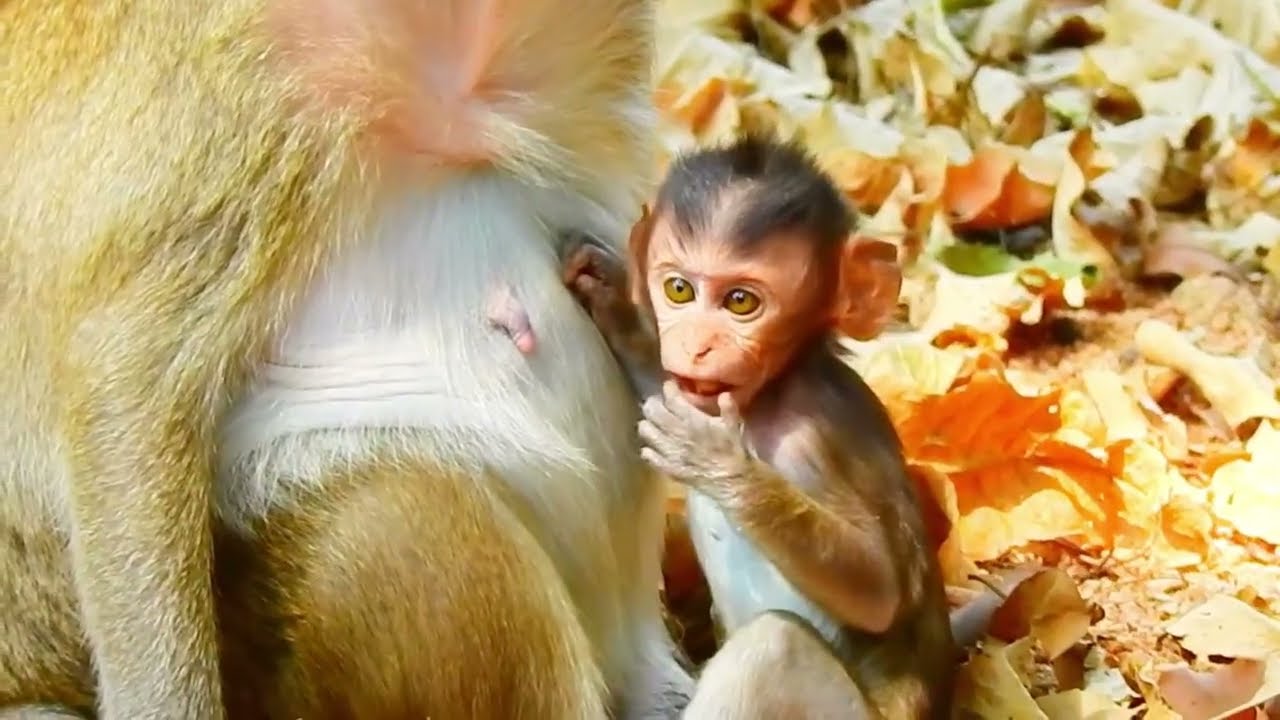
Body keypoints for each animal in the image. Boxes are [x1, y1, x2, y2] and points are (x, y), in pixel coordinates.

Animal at [560, 134, 956, 719]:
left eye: (740, 302)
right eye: (678, 291)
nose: (697, 345)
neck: (769, 398)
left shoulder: (812, 441)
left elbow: (880, 589)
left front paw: (724, 468)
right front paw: (608, 298)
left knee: (774, 647)